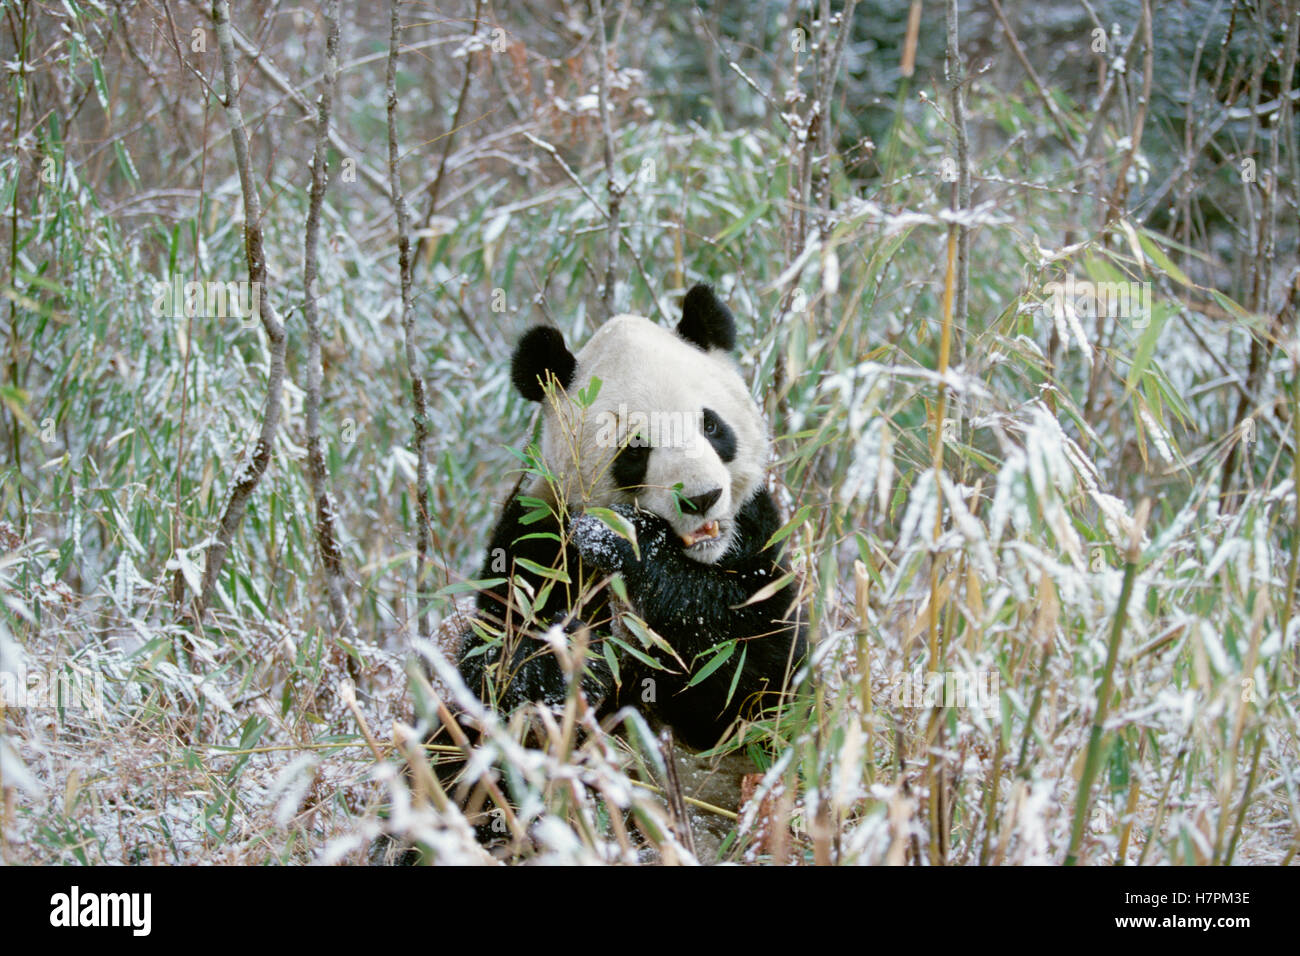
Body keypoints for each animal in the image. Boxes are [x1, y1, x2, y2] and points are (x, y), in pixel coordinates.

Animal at [457, 284, 806, 750]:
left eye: (711, 426)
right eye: (636, 450)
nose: (702, 498)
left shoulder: (757, 536)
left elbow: (760, 676)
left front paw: (624, 540)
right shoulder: (535, 538)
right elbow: (494, 662)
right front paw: (563, 662)